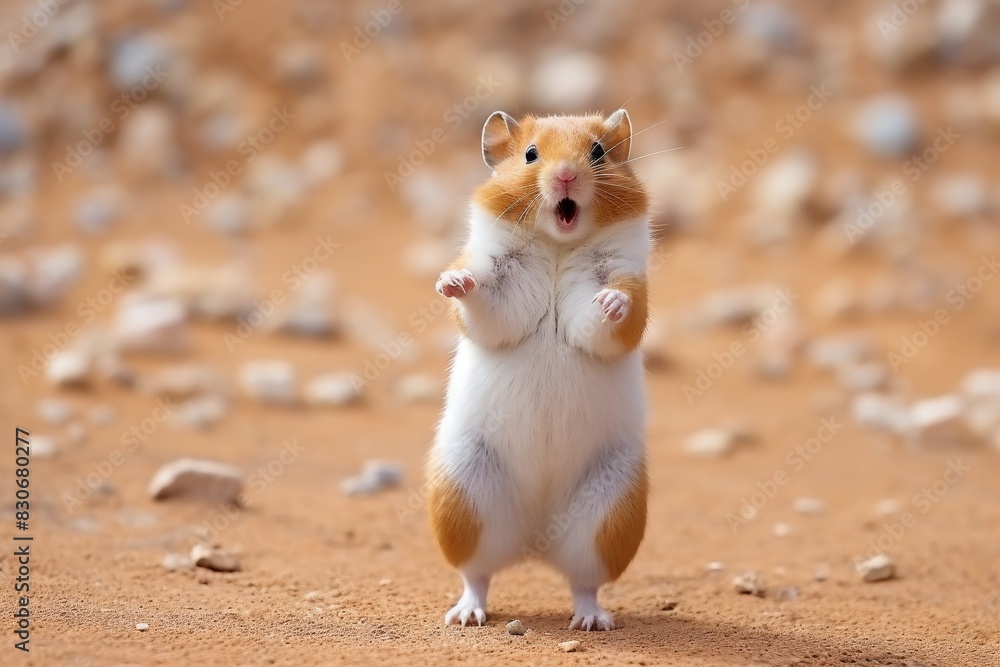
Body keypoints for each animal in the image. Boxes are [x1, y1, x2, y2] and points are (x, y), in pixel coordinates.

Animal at [427, 109, 651, 632]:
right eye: (530, 154)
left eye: (597, 153)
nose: (566, 176)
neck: (557, 244)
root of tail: (535, 541)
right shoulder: (499, 281)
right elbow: (481, 295)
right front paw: (452, 282)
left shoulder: (628, 277)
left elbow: (617, 309)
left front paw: (612, 302)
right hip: (464, 493)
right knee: (477, 575)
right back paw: (466, 615)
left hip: (608, 512)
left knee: (583, 584)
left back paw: (592, 621)